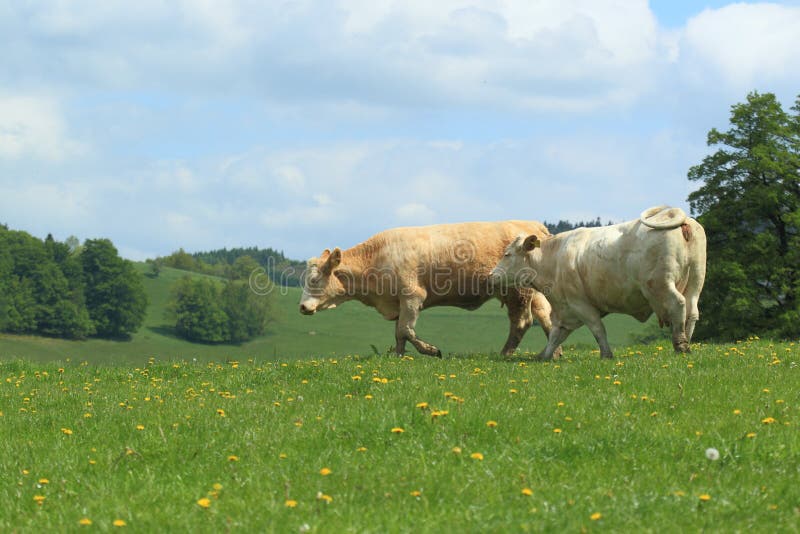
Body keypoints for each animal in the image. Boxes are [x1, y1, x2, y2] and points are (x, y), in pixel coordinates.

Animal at [299, 221, 558, 357]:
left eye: (314, 279)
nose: (301, 307)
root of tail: (534, 225)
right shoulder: (398, 303)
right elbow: (399, 333)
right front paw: (398, 356)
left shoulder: (412, 297)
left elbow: (406, 330)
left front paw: (431, 350)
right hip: (532, 294)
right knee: (546, 315)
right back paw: (553, 353)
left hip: (517, 293)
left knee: (521, 322)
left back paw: (505, 353)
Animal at [489, 206, 707, 360]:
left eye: (507, 254)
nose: (491, 275)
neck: (553, 259)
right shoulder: (566, 310)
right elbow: (555, 335)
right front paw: (543, 356)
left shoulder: (581, 304)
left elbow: (597, 329)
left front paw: (606, 355)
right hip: (696, 280)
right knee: (692, 310)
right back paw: (687, 342)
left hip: (661, 283)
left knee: (678, 304)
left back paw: (681, 345)